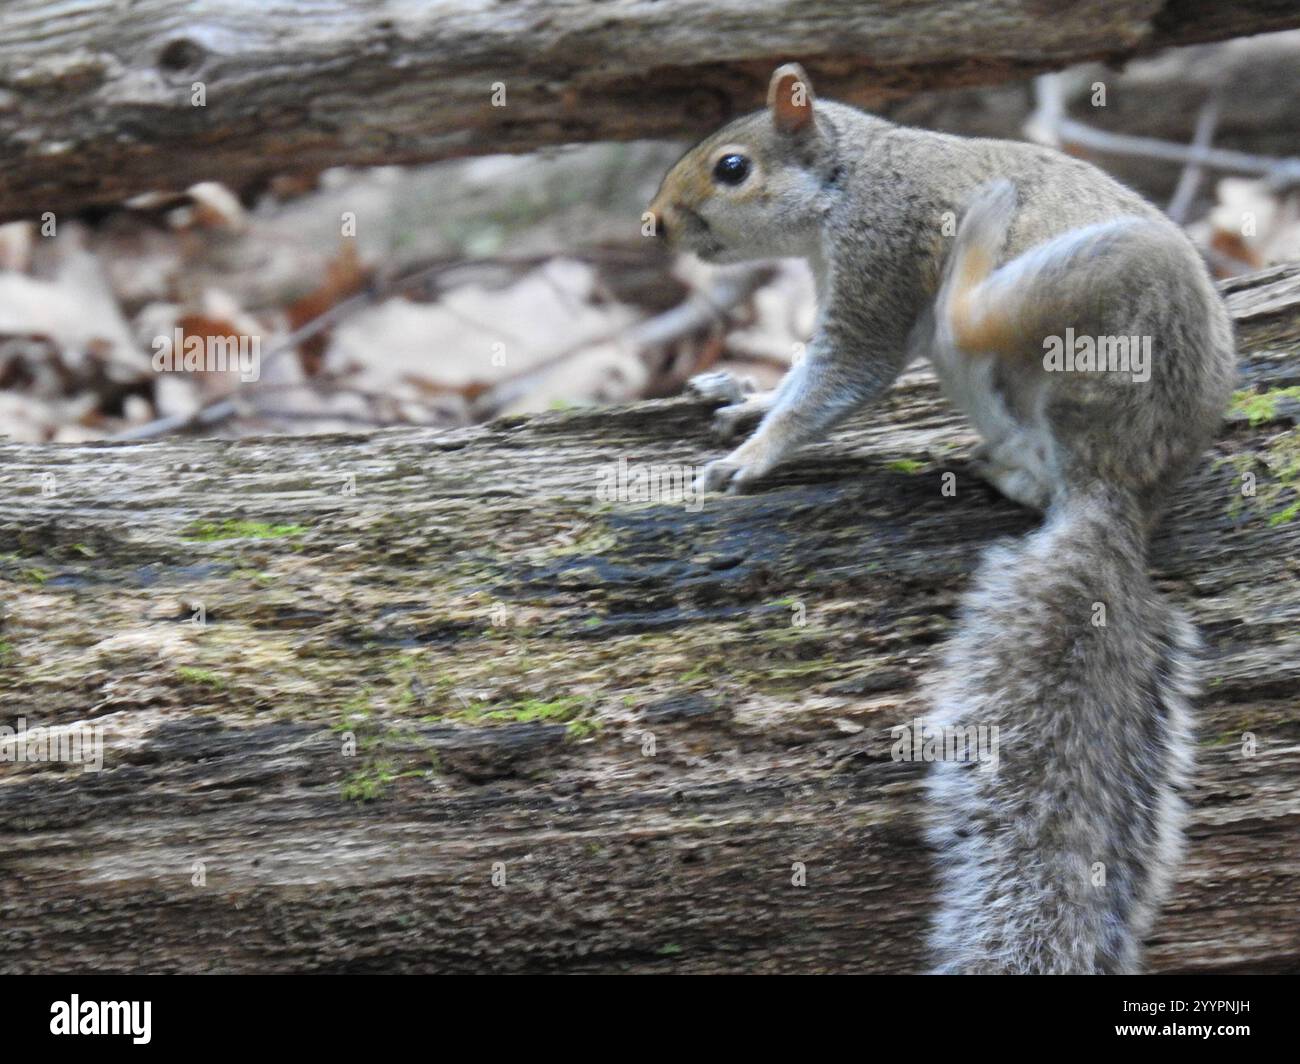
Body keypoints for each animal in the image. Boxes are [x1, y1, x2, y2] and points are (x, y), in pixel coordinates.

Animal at [648, 64, 1237, 974]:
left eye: (732, 168)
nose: (655, 221)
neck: (848, 178)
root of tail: (1121, 484)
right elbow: (803, 378)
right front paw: (745, 399)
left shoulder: (879, 258)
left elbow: (842, 376)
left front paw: (755, 451)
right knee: (1024, 469)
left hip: (1108, 292)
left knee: (969, 319)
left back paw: (980, 240)